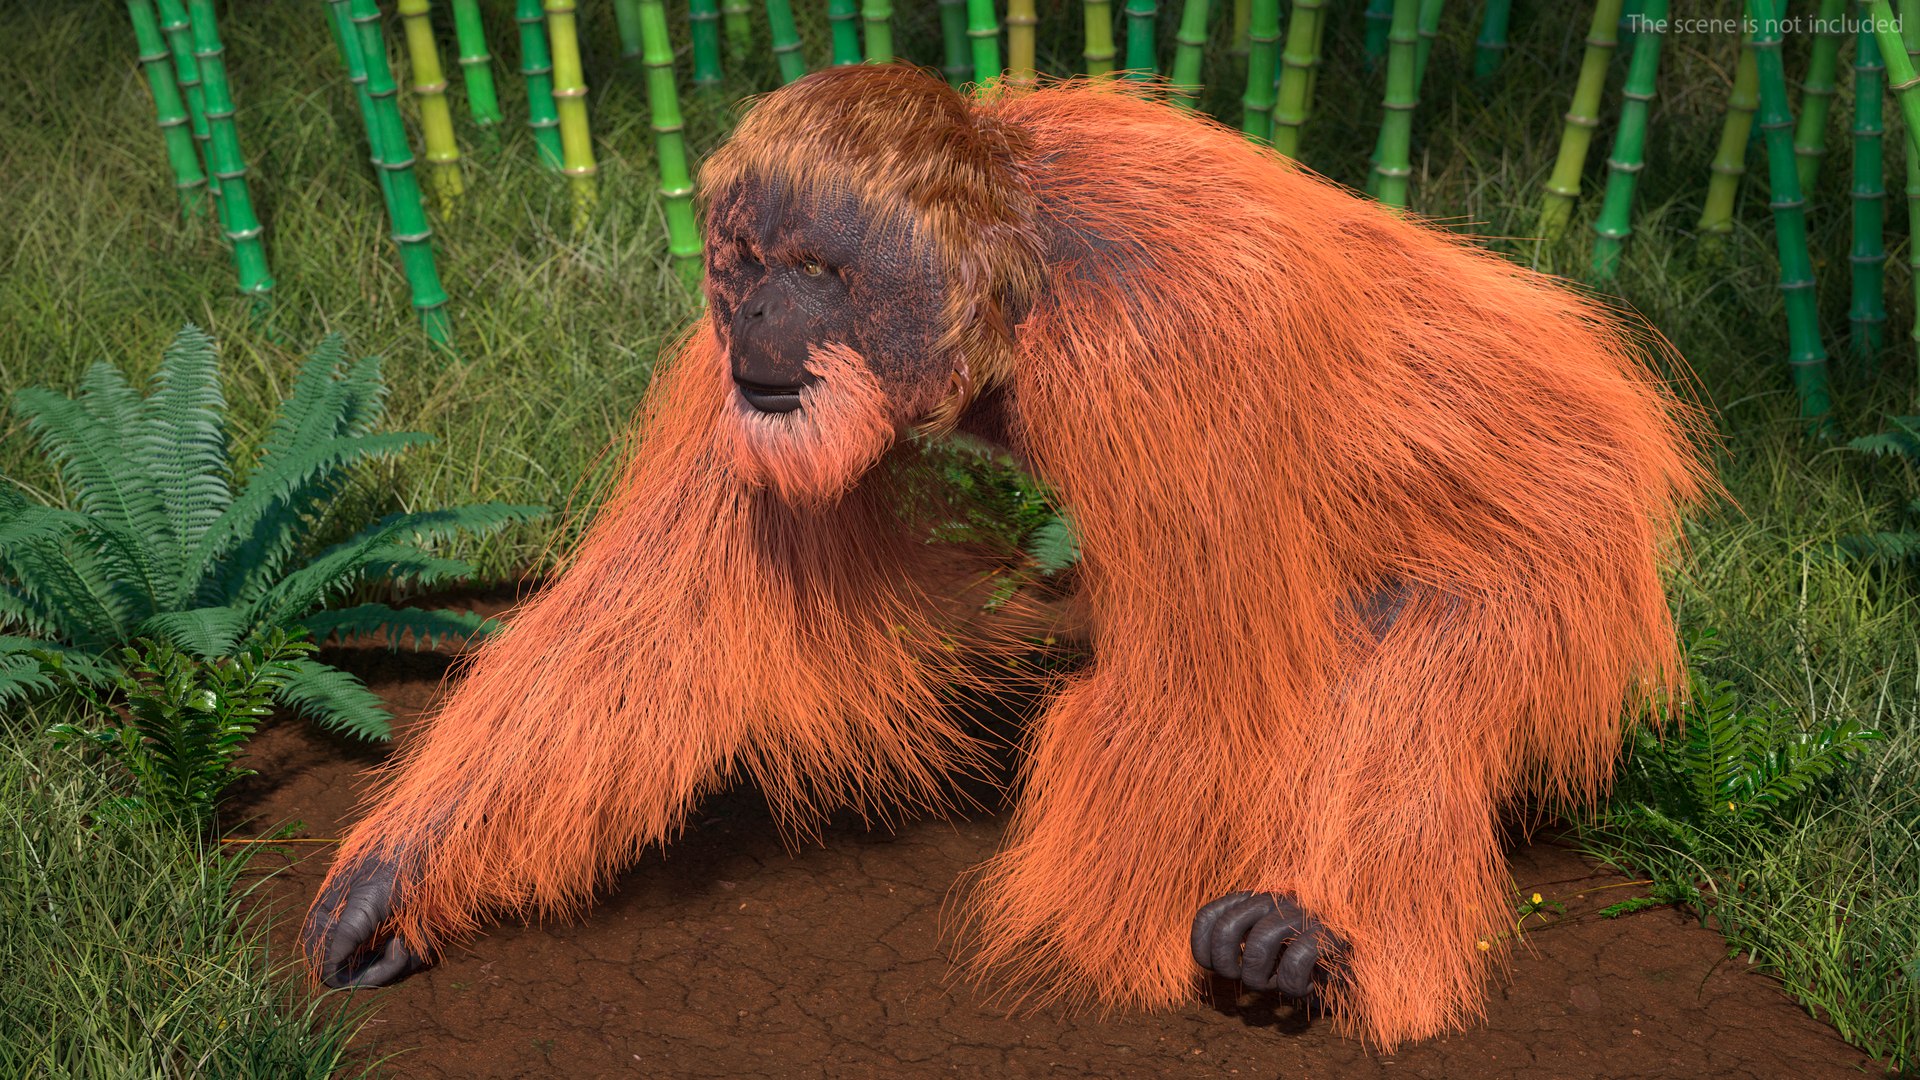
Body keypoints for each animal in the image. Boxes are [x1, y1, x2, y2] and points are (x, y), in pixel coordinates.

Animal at [302, 64, 1709, 1050]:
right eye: (746, 261)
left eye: (819, 269)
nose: (759, 314)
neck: (1018, 285)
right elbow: (661, 615)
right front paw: (397, 883)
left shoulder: (1166, 356)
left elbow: (1199, 689)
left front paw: (1087, 957)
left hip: (1580, 533)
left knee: (1427, 657)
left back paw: (1303, 923)